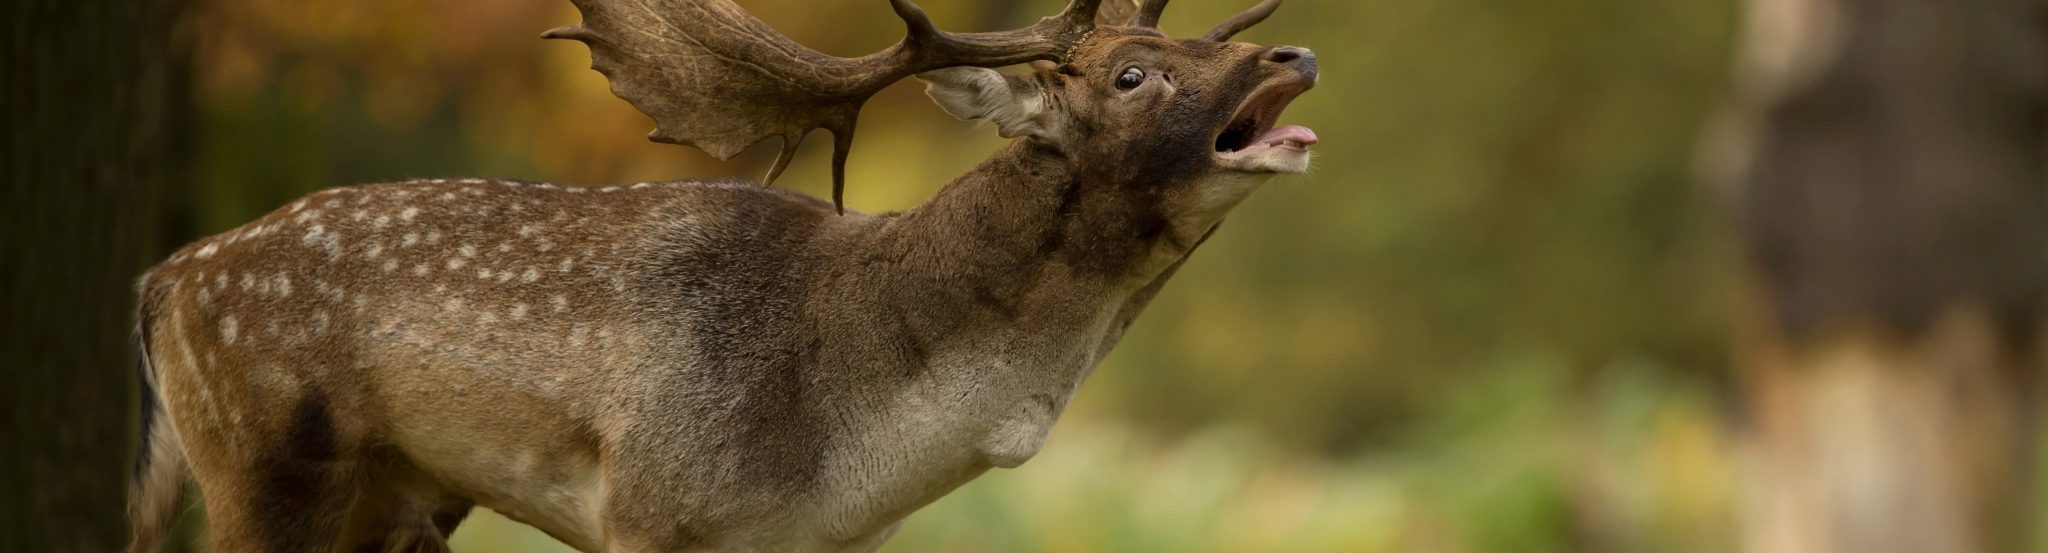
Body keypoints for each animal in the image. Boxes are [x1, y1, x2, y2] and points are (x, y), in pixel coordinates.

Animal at [124, 0, 1319, 551]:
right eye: (1132, 75)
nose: (1291, 53)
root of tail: (162, 279)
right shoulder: (652, 507)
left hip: (397, 496)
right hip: (258, 460)